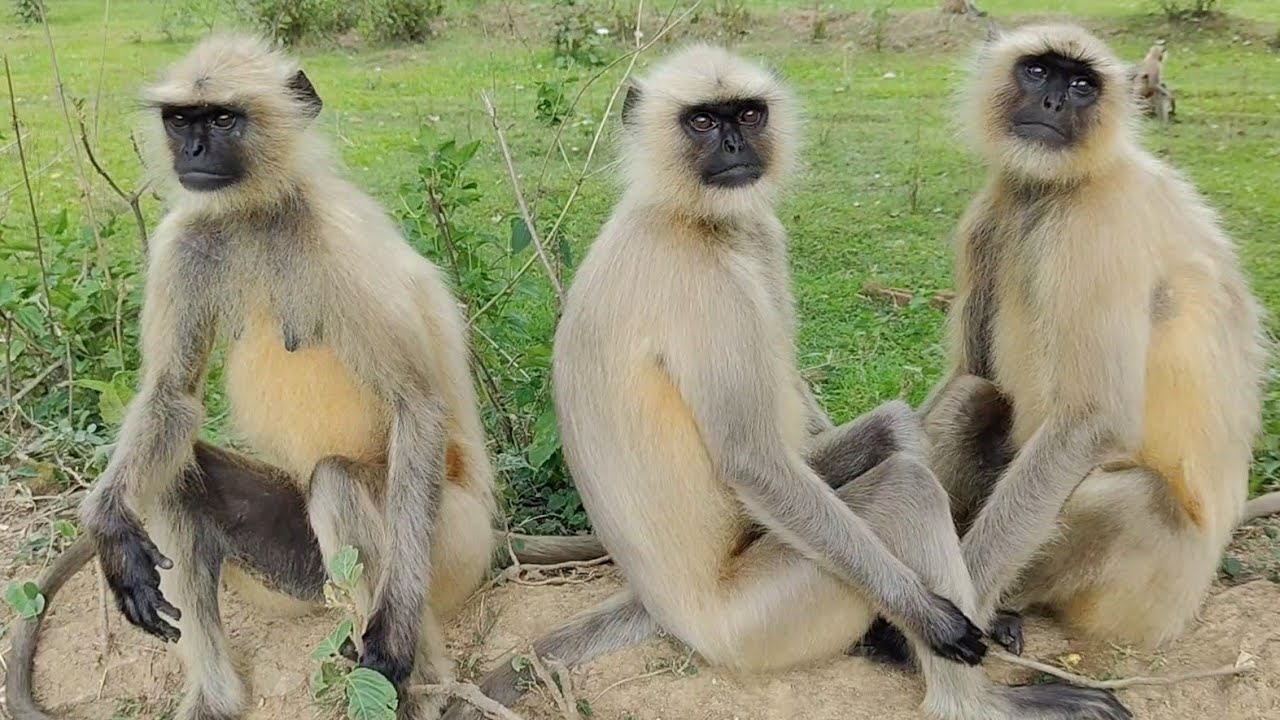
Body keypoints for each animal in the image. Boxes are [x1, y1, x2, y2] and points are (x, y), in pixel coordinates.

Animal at [3, 34, 603, 720]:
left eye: (223, 120)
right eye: (182, 120)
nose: (194, 152)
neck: (260, 213)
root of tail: (490, 531)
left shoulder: (338, 243)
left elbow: (416, 405)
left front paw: (393, 641)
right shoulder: (188, 237)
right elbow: (172, 397)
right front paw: (107, 525)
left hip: (450, 545)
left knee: (338, 484)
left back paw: (419, 685)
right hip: (303, 570)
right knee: (178, 476)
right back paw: (216, 696)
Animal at [439, 44, 1130, 720]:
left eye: (747, 115)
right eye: (701, 121)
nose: (733, 146)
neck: (683, 217)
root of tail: (667, 609)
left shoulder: (757, 234)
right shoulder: (702, 289)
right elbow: (753, 462)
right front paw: (928, 617)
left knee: (895, 439)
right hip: (760, 620)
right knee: (902, 488)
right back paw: (971, 699)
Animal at [854, 24, 1272, 670]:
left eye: (1080, 85)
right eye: (1037, 72)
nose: (1053, 103)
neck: (1056, 188)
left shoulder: (1102, 224)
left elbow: (1092, 422)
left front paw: (934, 623)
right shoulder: (994, 207)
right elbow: (969, 368)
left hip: (1146, 602)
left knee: (1136, 500)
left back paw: (995, 613)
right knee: (977, 394)